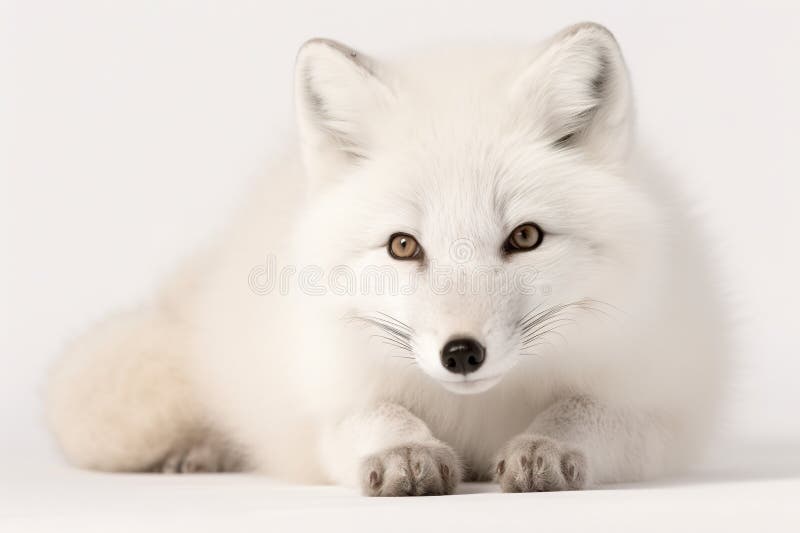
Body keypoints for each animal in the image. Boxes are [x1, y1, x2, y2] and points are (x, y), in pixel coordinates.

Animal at [46, 22, 726, 495]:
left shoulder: (664, 409)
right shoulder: (324, 399)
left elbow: (584, 413)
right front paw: (405, 453)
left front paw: (543, 447)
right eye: (404, 246)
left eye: (525, 238)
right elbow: (371, 417)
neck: (473, 415)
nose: (461, 354)